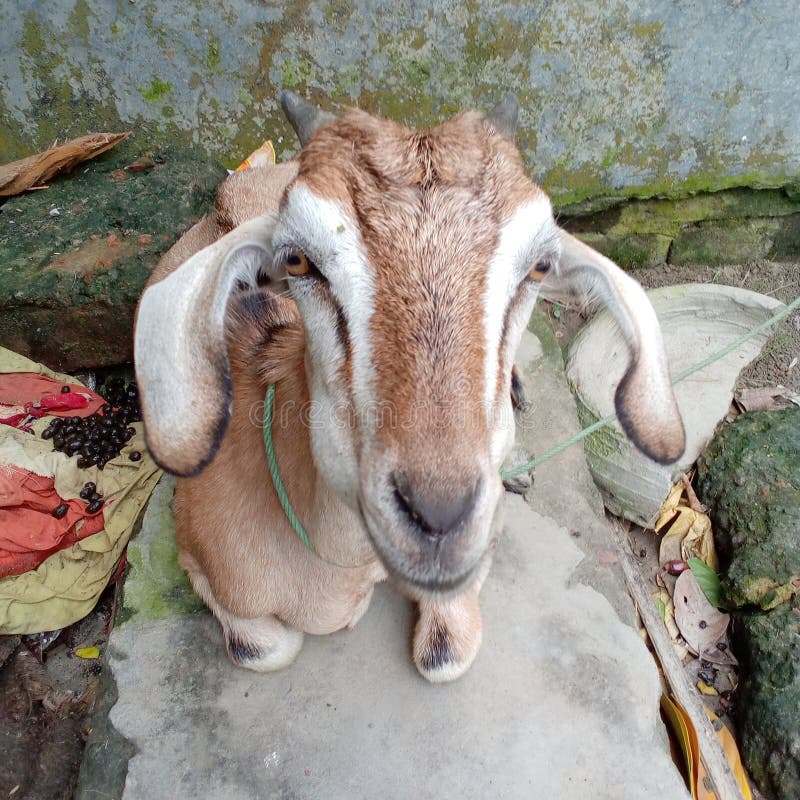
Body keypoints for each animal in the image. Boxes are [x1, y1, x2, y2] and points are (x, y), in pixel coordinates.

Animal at [134, 92, 685, 682]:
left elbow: (444, 655)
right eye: (298, 259)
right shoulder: (197, 559)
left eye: (539, 266)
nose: (438, 518)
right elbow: (261, 649)